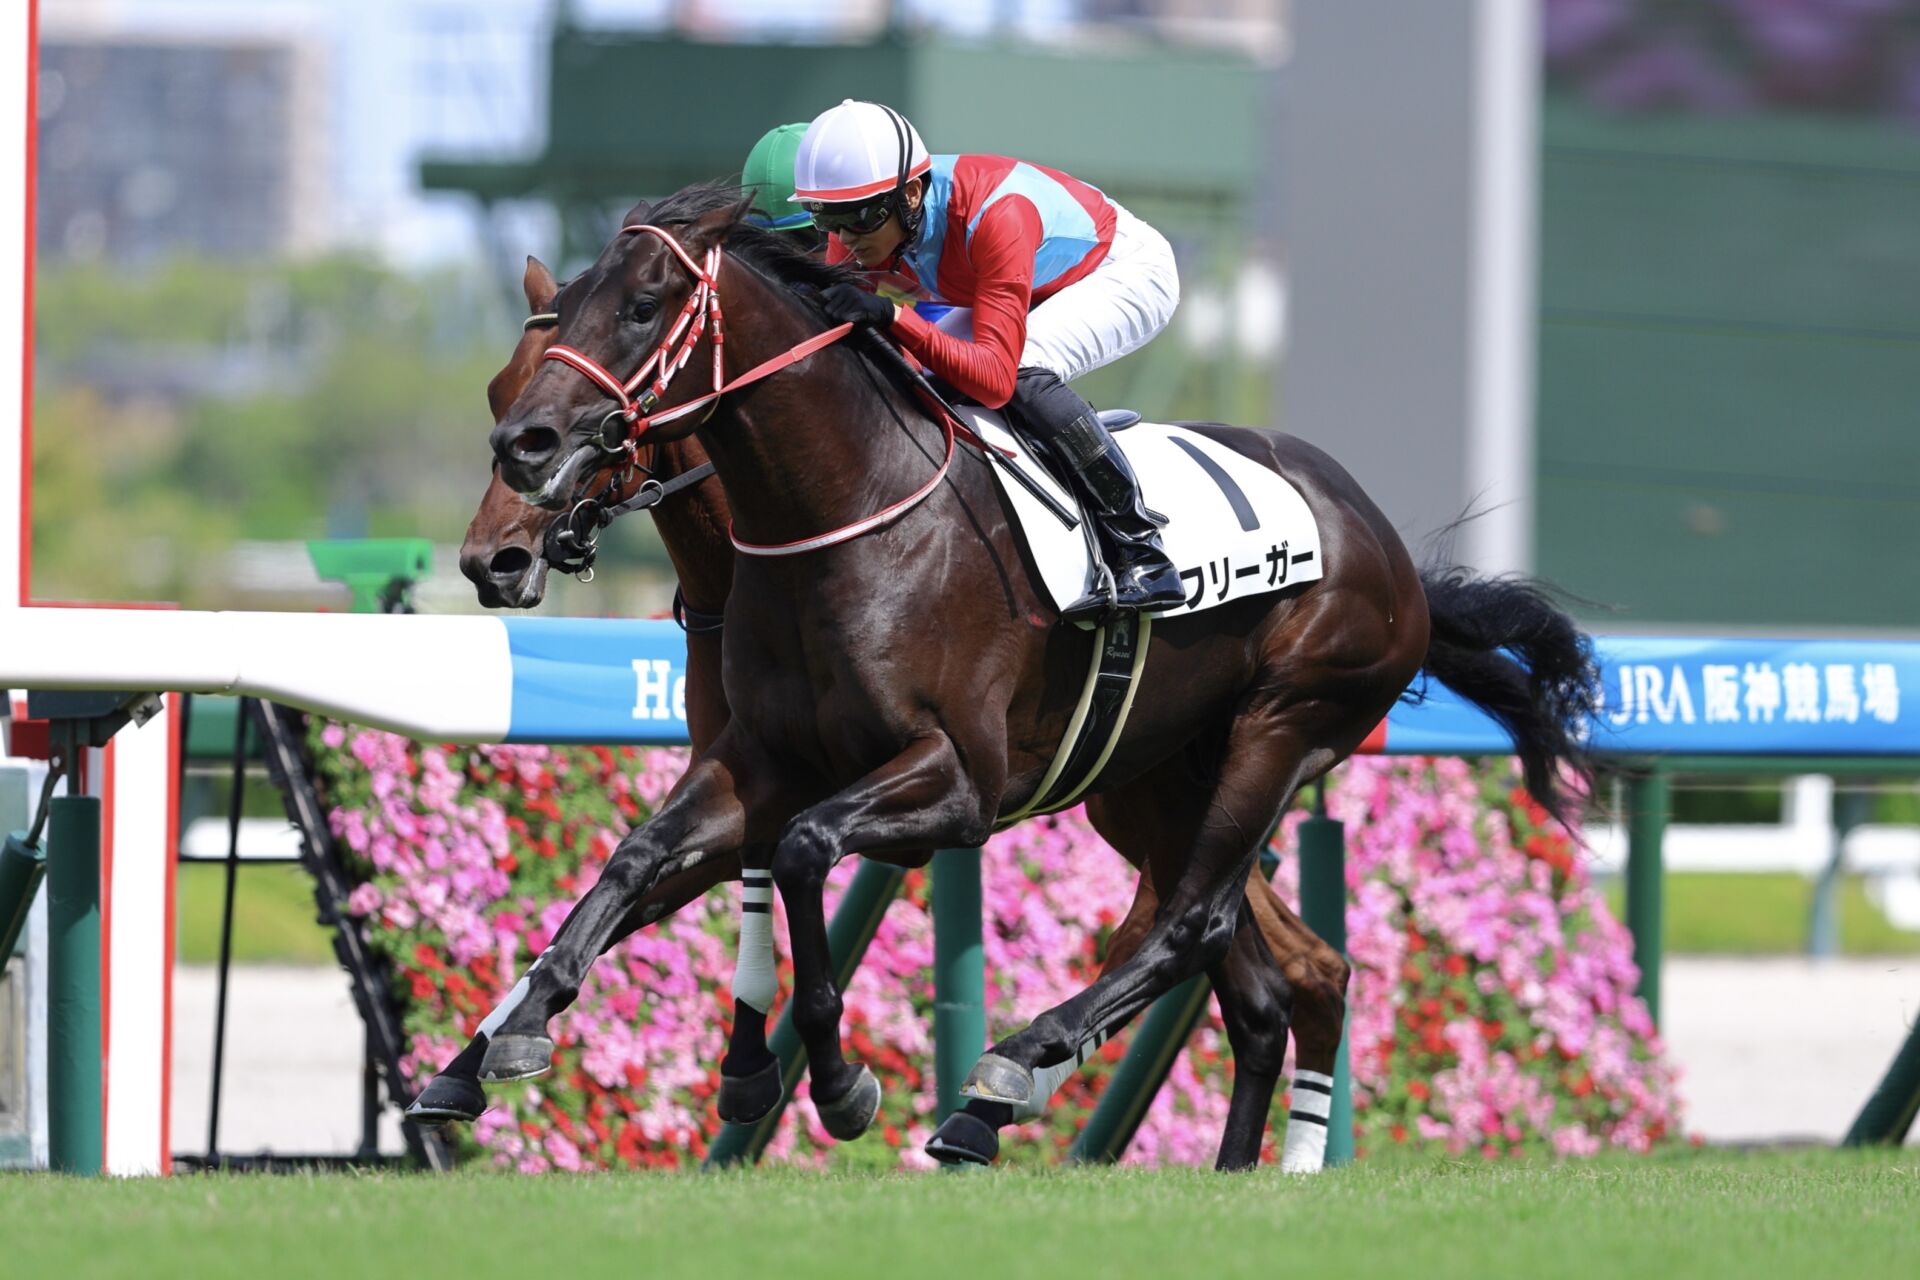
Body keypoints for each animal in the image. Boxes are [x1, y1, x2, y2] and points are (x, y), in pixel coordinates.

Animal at [474, 184, 1596, 1168]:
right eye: (568, 305)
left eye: (643, 306)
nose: (523, 448)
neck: (846, 513)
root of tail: (1386, 545)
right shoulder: (758, 759)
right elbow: (638, 858)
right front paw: (519, 1023)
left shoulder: (957, 782)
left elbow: (800, 850)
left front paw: (835, 1084)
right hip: (1153, 780)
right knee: (1261, 981)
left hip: (1285, 724)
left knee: (1193, 921)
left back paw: (1017, 1063)